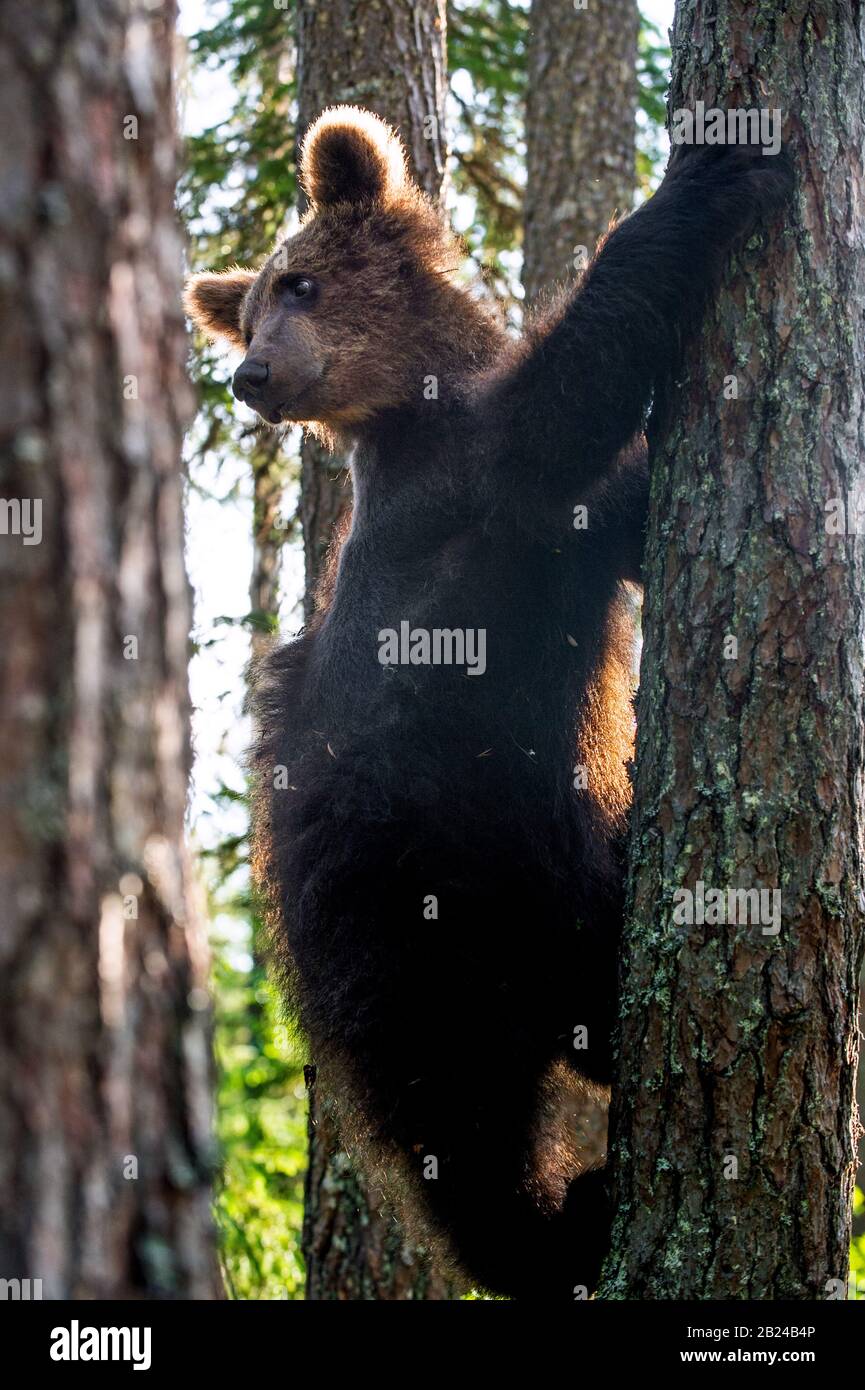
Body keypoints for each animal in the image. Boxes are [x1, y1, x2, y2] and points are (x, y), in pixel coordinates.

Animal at [185, 106, 790, 1300]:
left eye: (299, 283)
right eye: (265, 295)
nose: (251, 376)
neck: (411, 406)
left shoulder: (567, 529)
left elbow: (622, 501)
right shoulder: (464, 503)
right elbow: (560, 407)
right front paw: (700, 182)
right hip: (423, 890)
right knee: (458, 1108)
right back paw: (558, 1224)